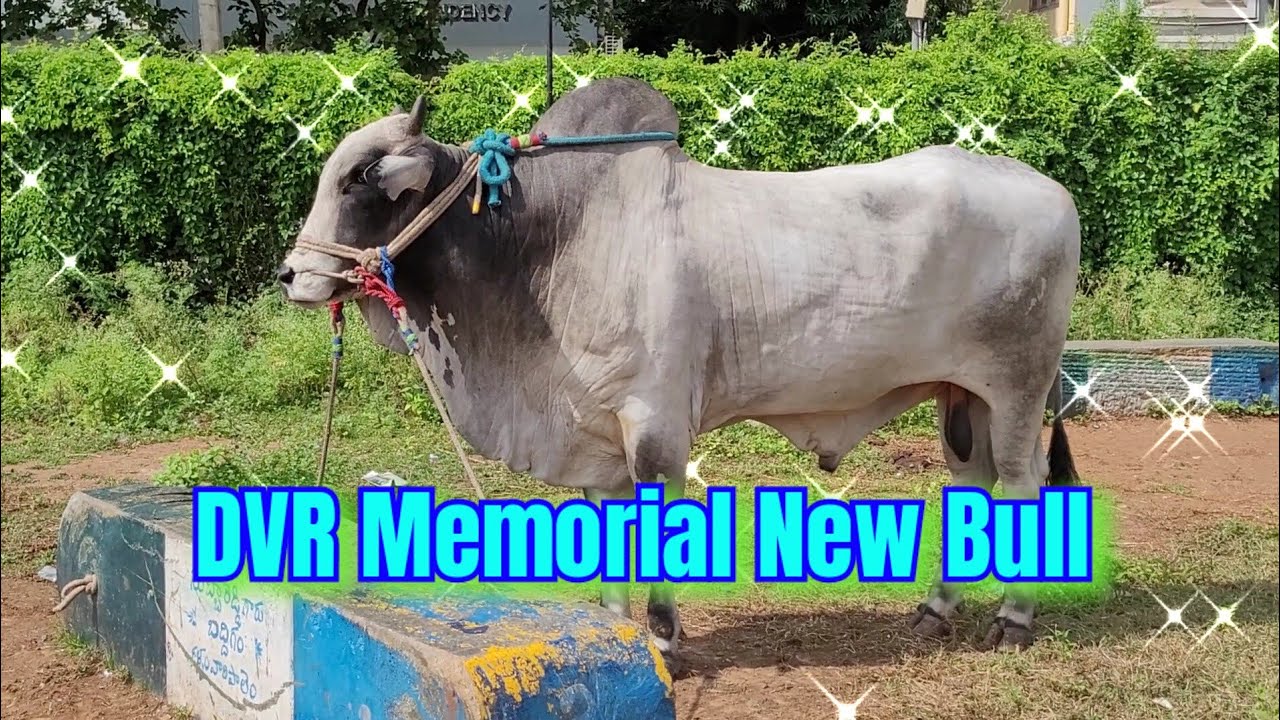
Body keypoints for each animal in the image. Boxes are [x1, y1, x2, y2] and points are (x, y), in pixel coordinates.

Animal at [276, 76, 1082, 671]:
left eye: (360, 178)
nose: (291, 276)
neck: (550, 242)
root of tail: (1054, 191)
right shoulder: (596, 433)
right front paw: (616, 629)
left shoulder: (654, 421)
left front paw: (664, 638)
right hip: (962, 396)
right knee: (971, 483)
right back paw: (936, 611)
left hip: (1016, 384)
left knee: (1022, 483)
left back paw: (1013, 619)